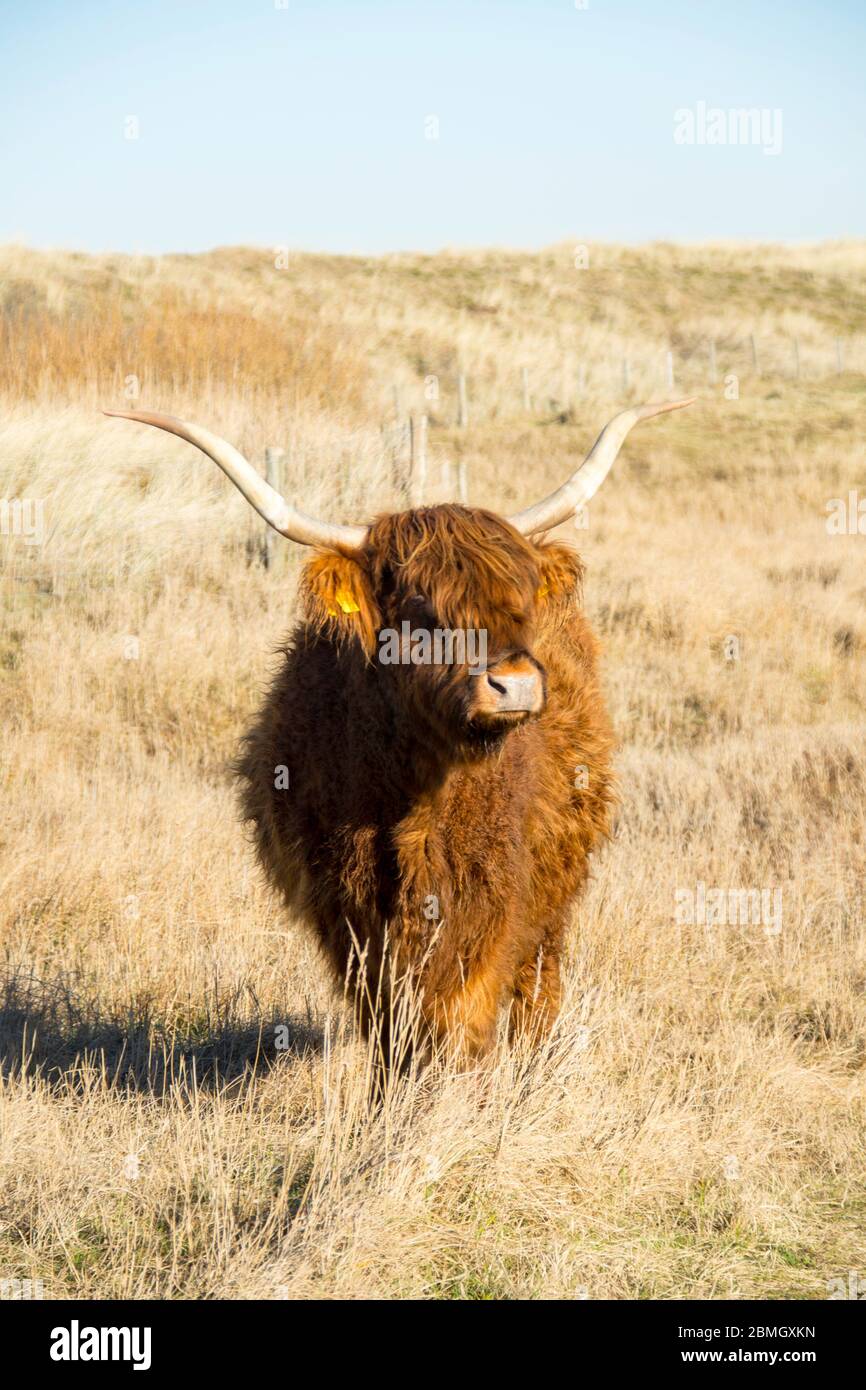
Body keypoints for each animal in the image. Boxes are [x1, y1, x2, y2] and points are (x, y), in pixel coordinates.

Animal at [107, 398, 692, 1063]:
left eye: (519, 600)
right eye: (420, 608)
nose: (515, 684)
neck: (416, 793)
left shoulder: (491, 901)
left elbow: (463, 1012)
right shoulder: (348, 910)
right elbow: (390, 1023)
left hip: (556, 890)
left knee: (539, 982)